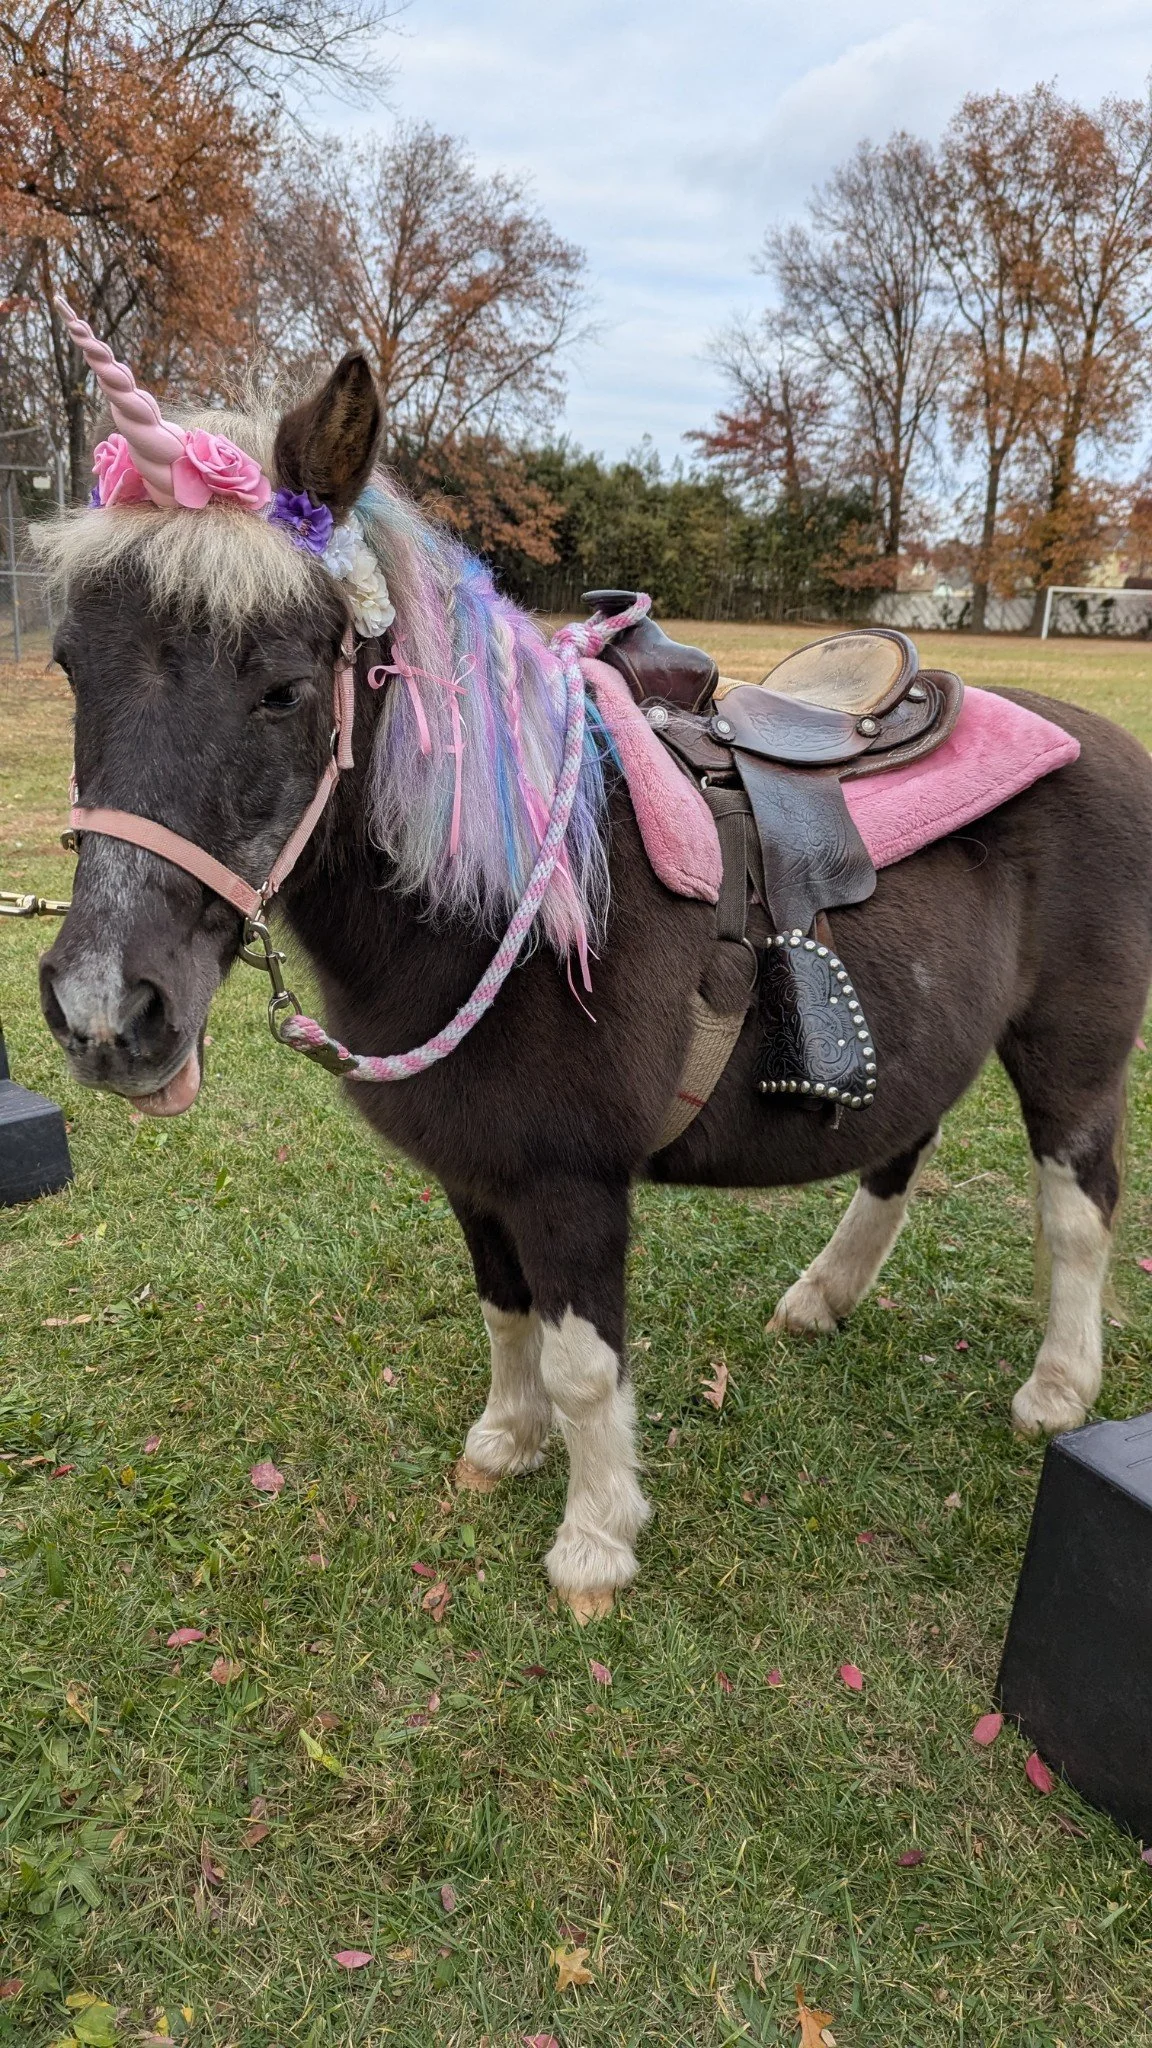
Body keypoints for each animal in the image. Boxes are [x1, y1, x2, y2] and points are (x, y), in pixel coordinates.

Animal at [36, 340, 1152, 1621]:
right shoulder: (478, 1172)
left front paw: (595, 1539)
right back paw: (824, 1296)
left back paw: (1057, 1388)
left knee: (1077, 1202)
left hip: (1071, 1052)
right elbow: (502, 1311)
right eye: (70, 667)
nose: (105, 1010)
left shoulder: (567, 1183)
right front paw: (505, 1443)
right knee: (901, 1147)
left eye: (280, 686)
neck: (512, 898)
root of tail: (1096, 737)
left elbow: (581, 1362)